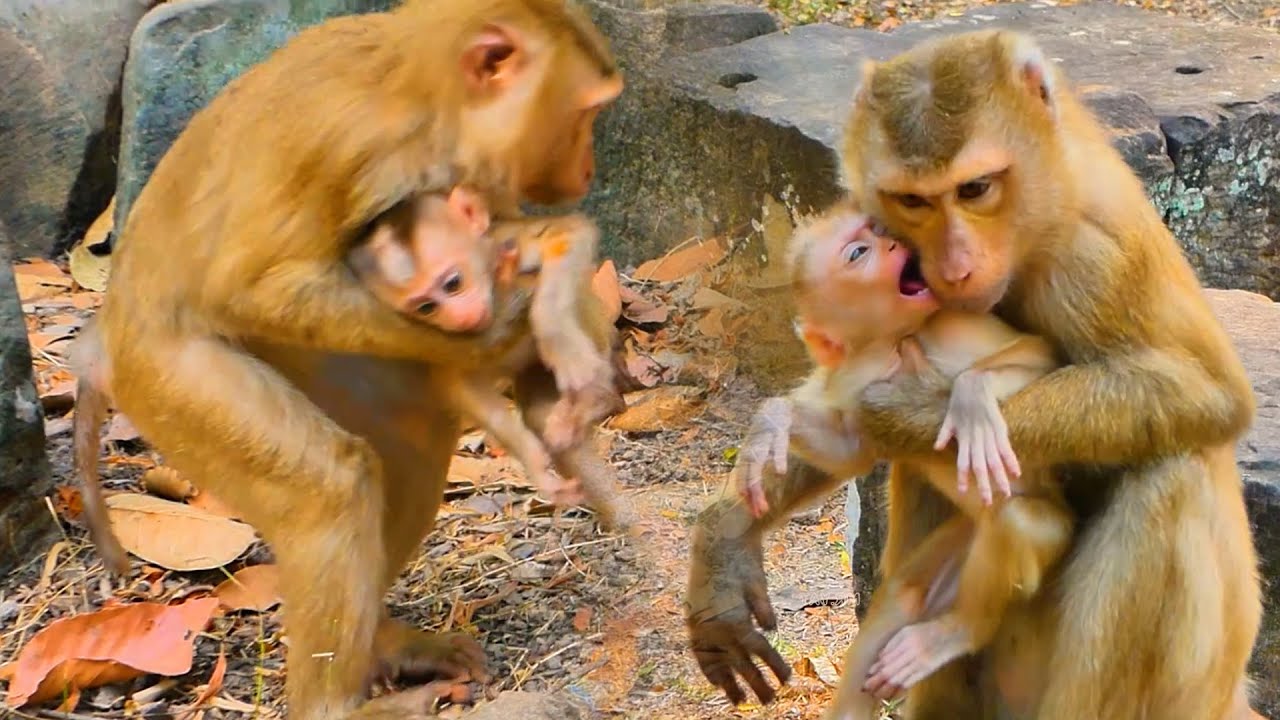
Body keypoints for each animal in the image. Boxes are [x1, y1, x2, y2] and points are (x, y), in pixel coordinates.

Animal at [89, 2, 624, 718]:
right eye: (585, 114)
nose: (589, 167)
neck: (423, 100)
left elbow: (546, 237)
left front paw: (563, 342)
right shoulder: (350, 142)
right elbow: (249, 288)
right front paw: (502, 340)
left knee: (411, 447)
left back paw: (387, 645)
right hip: (169, 381)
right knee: (331, 487)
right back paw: (338, 702)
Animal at [686, 28, 1263, 720]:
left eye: (975, 189)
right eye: (912, 201)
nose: (952, 264)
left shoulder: (1100, 248)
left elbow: (1208, 396)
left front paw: (921, 412)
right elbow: (842, 439)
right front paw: (727, 533)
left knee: (1169, 472)